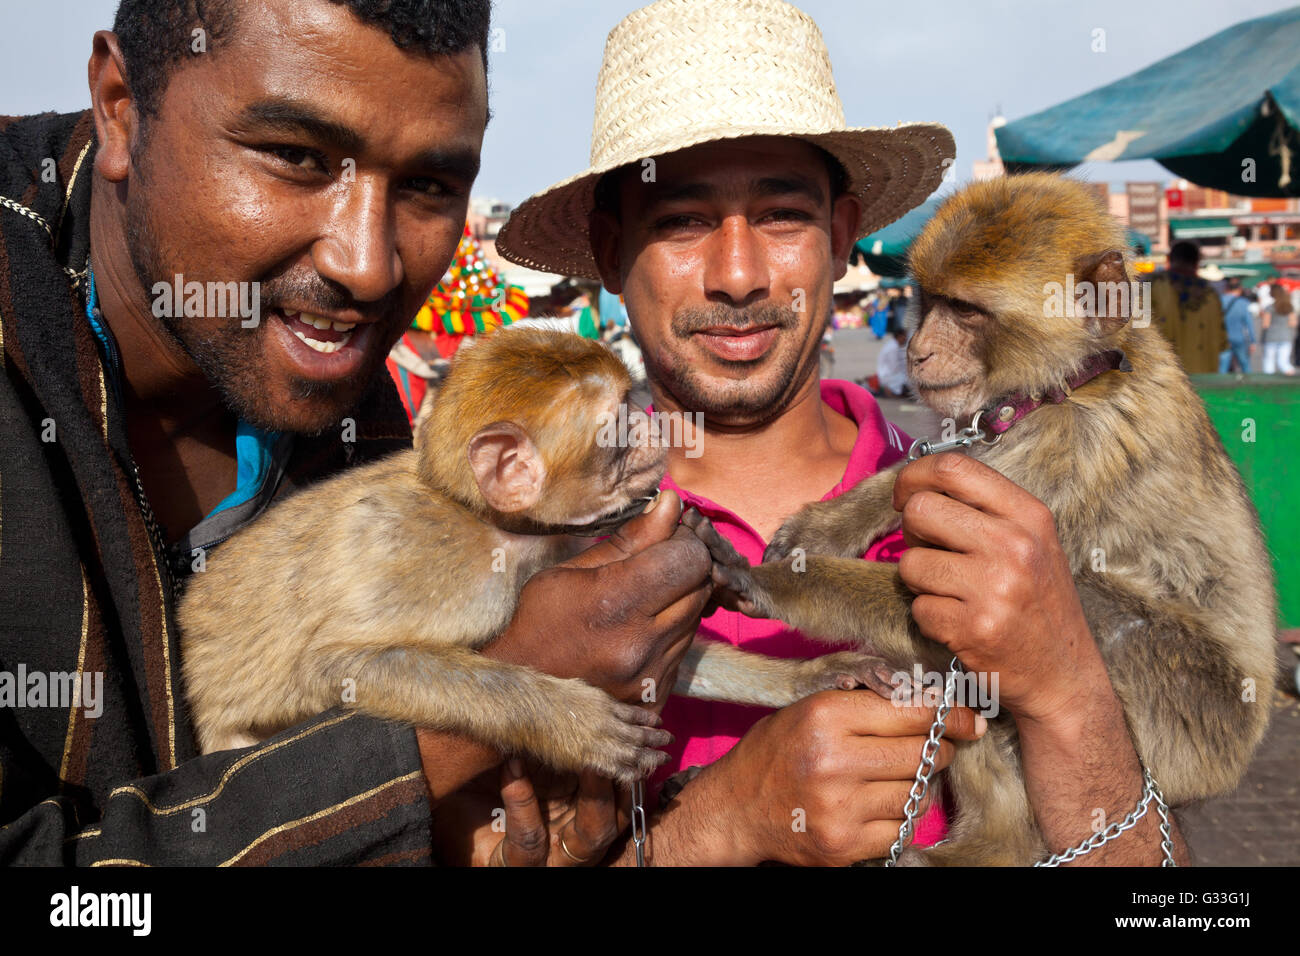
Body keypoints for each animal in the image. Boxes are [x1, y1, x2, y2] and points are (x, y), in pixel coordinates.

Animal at [178, 326, 886, 782]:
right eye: (620, 422)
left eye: (636, 404)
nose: (657, 426)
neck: (505, 532)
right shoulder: (428, 566)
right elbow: (336, 666)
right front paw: (567, 719)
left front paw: (804, 678)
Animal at [683, 172, 1278, 864]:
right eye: (930, 300)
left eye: (966, 311)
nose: (917, 351)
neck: (1067, 385)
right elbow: (934, 467)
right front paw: (830, 525)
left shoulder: (1062, 460)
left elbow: (937, 607)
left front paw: (768, 582)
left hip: (1189, 720)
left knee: (1086, 614)